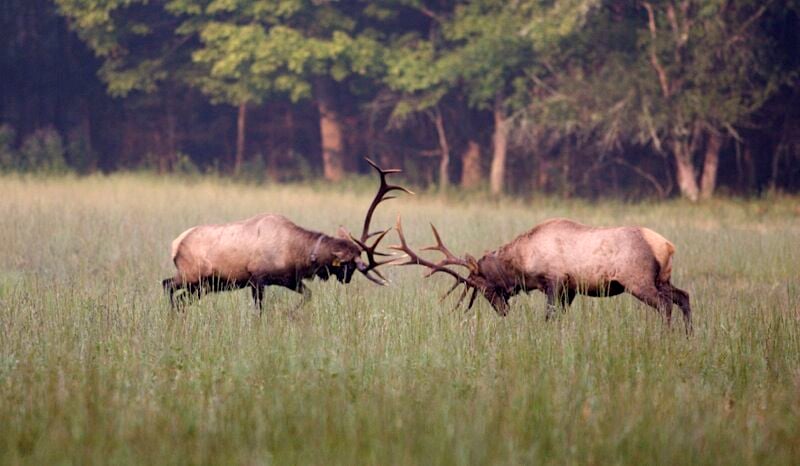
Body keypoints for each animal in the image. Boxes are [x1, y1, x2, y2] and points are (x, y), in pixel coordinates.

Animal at [162, 159, 411, 312]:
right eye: (348, 263)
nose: (347, 279)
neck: (296, 254)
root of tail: (175, 244)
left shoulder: (289, 279)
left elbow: (308, 295)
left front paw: (290, 313)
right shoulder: (257, 278)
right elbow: (259, 310)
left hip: (205, 285)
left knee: (181, 298)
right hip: (191, 275)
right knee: (167, 285)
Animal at [392, 217, 692, 333]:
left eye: (484, 286)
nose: (503, 311)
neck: (525, 265)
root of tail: (666, 246)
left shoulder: (555, 281)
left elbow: (549, 315)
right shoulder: (570, 289)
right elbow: (559, 316)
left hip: (637, 280)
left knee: (665, 304)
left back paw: (666, 335)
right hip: (662, 279)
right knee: (684, 296)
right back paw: (688, 335)